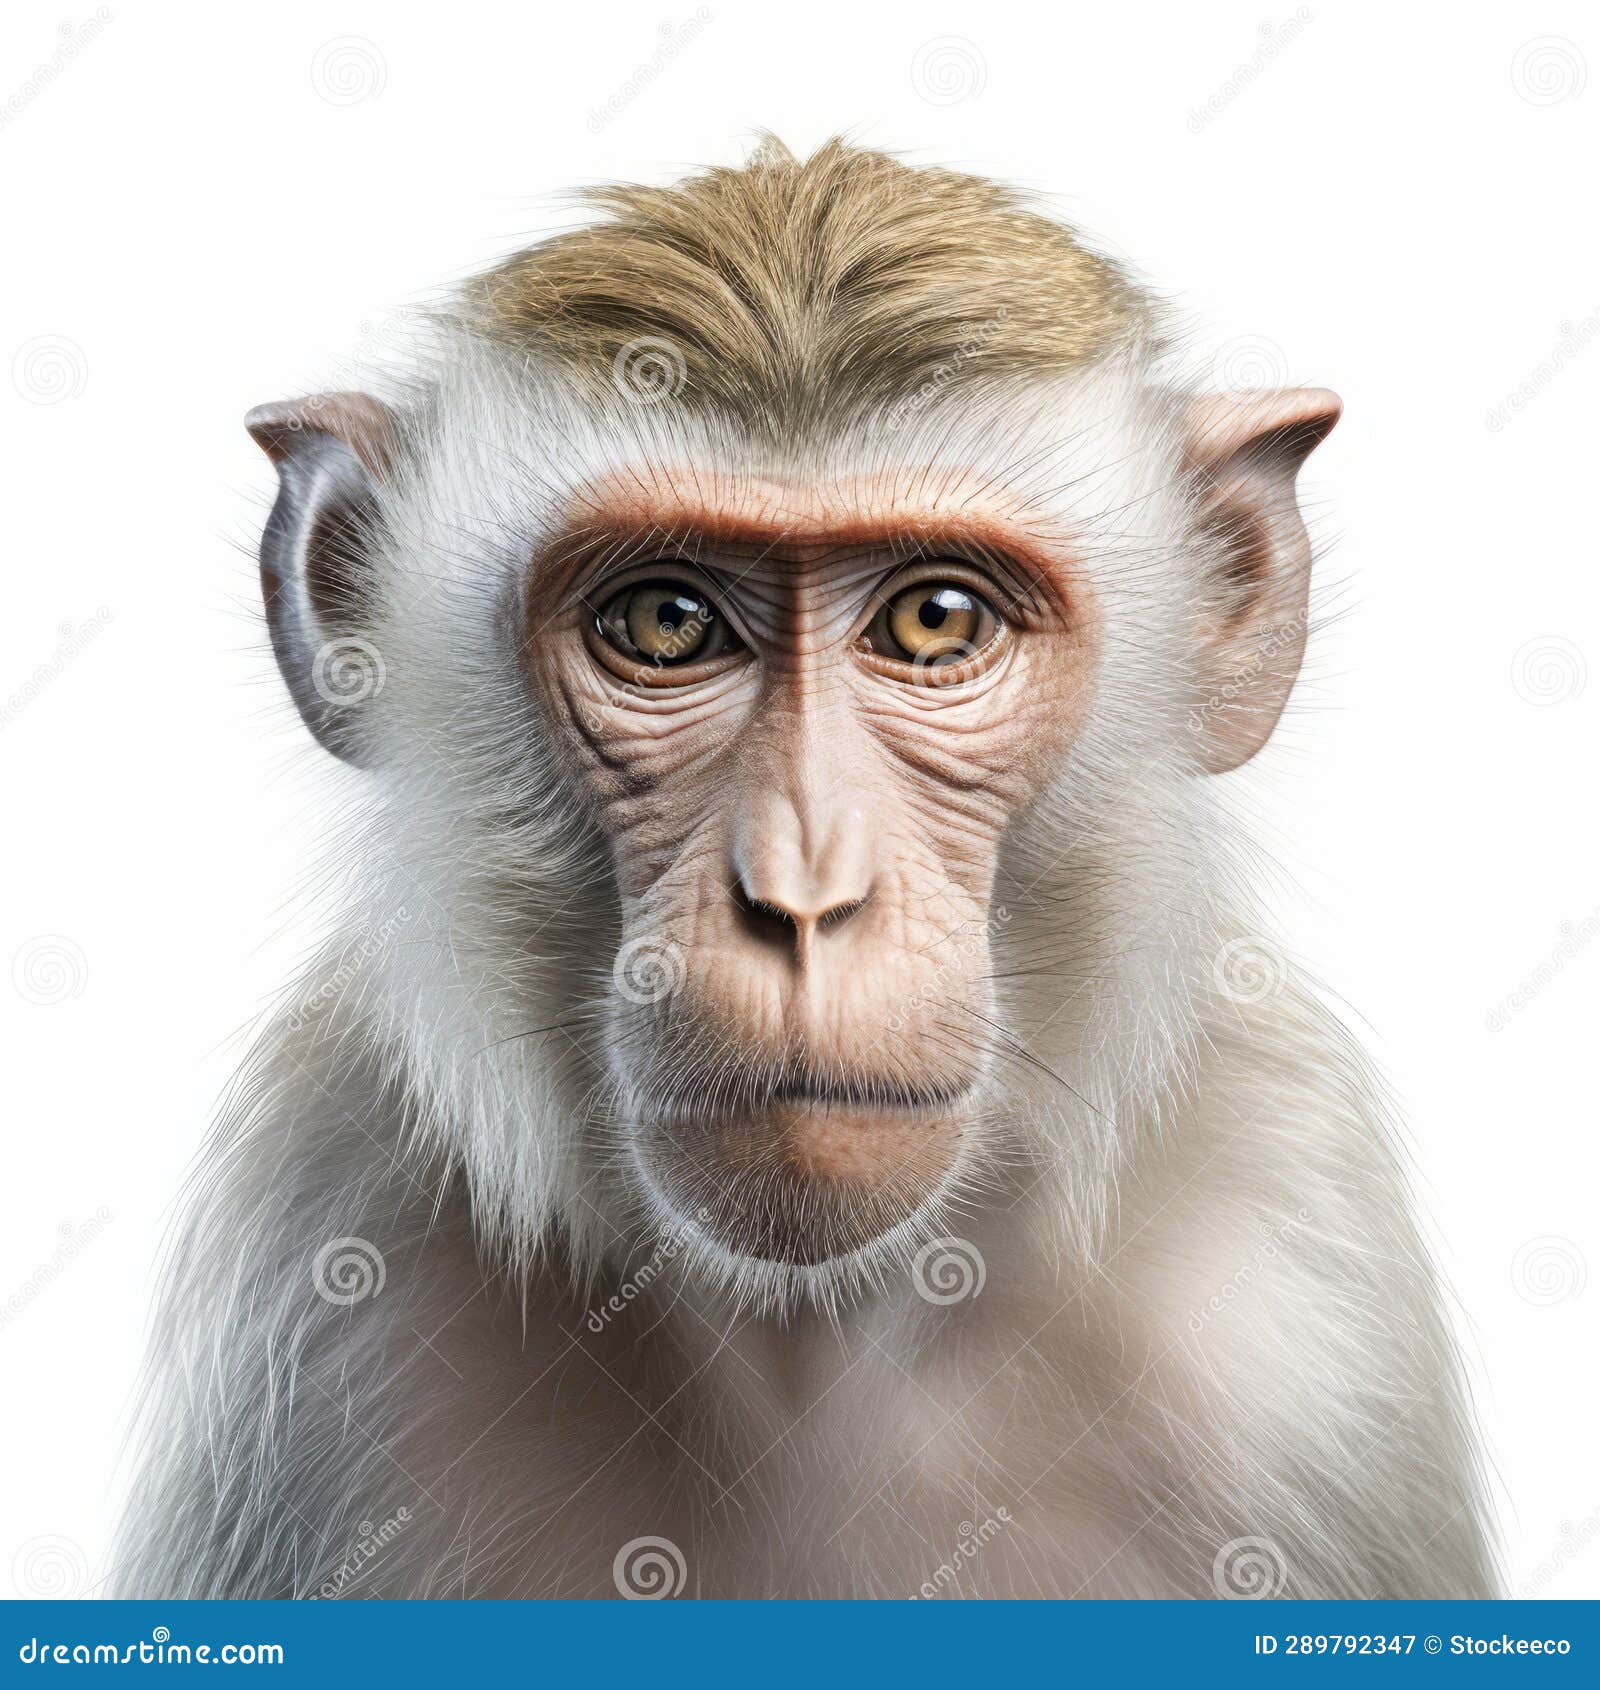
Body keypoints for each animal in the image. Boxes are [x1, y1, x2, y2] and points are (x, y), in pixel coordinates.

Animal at [112, 138, 1497, 1600]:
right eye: (664, 621)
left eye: (936, 619)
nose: (801, 894)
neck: (810, 1334)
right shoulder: (316, 1252)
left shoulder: (1302, 1269)